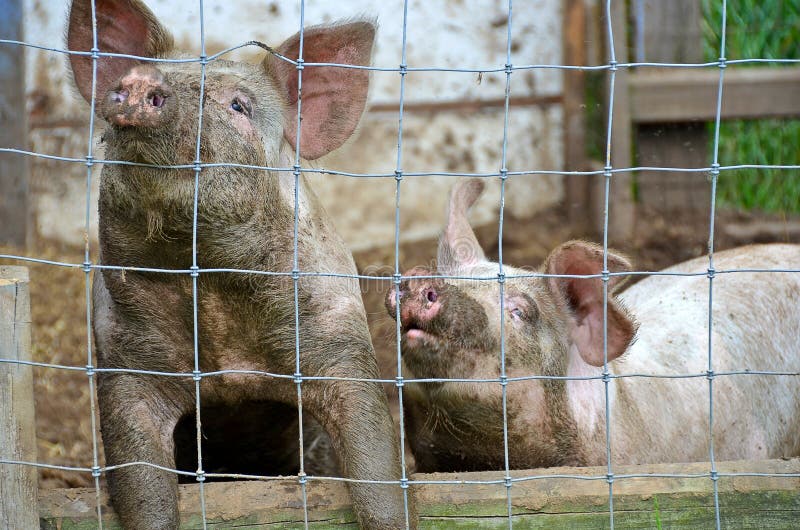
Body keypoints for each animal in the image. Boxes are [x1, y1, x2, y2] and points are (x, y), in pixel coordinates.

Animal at [67, 0, 414, 528]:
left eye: (238, 106)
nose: (143, 80)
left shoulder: (339, 335)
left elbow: (373, 458)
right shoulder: (121, 358)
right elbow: (141, 482)